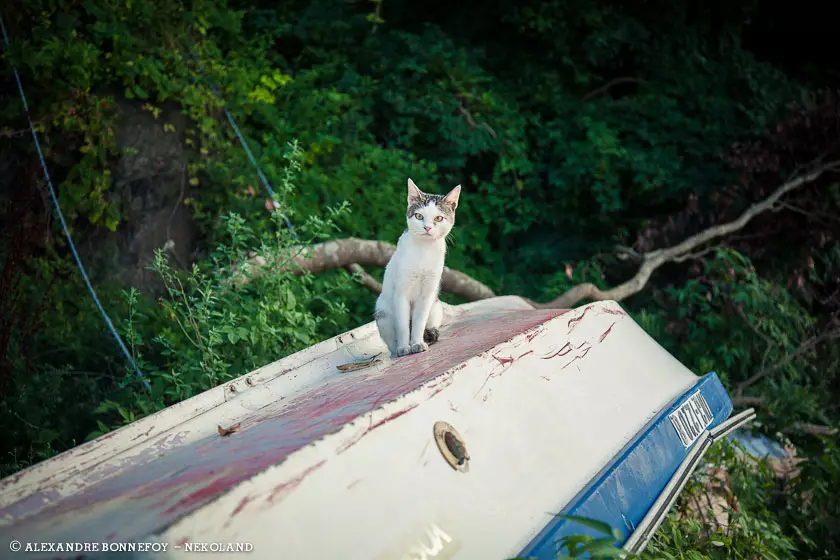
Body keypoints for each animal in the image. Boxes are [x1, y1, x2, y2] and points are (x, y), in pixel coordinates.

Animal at [376, 179, 462, 358]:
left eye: (438, 218)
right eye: (419, 216)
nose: (427, 227)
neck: (424, 250)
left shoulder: (427, 294)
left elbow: (418, 322)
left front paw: (417, 343)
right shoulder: (401, 293)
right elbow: (403, 326)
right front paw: (404, 348)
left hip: (436, 307)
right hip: (382, 313)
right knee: (391, 341)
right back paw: (396, 351)